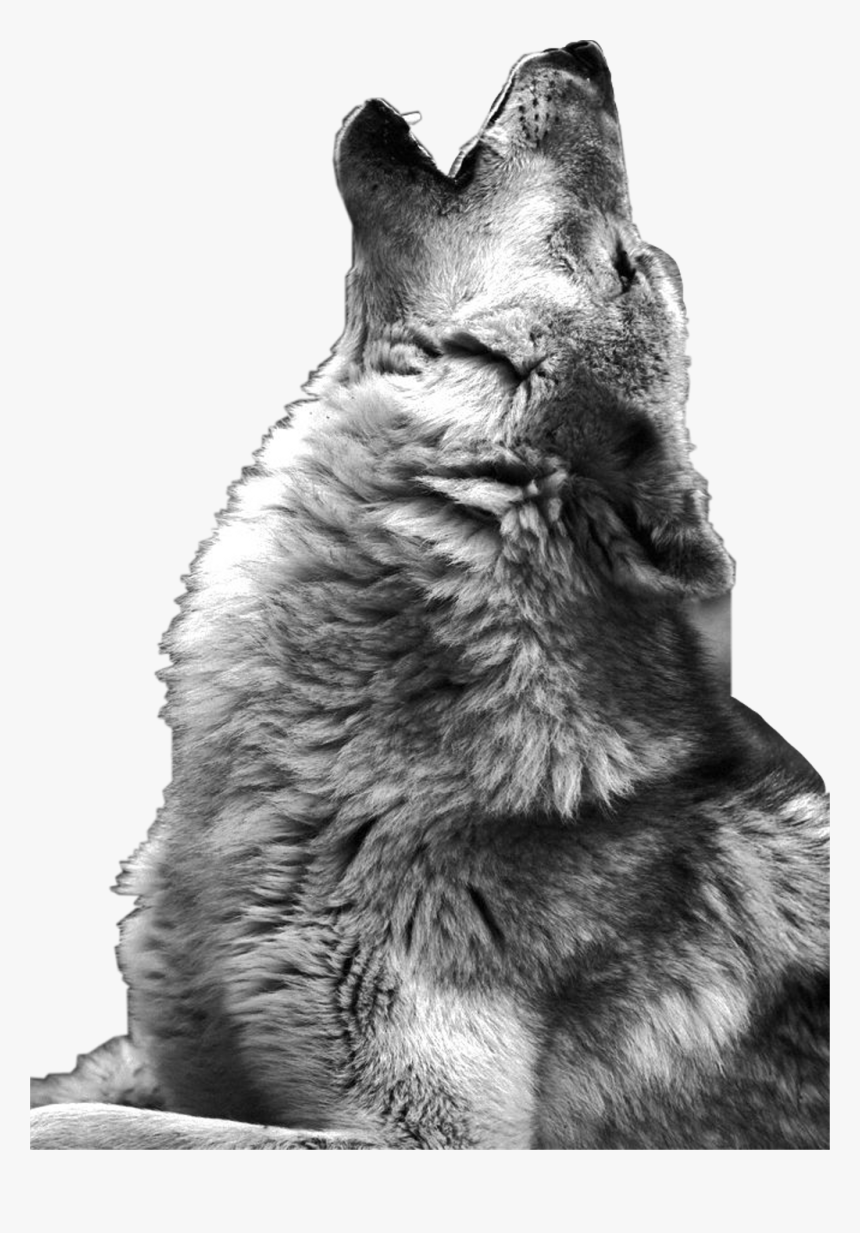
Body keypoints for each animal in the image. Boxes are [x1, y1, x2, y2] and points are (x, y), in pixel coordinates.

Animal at [30, 41, 828, 1149]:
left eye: (624, 263)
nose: (585, 51)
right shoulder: (173, 1055)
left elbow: (112, 1127)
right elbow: (92, 1095)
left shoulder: (430, 1133)